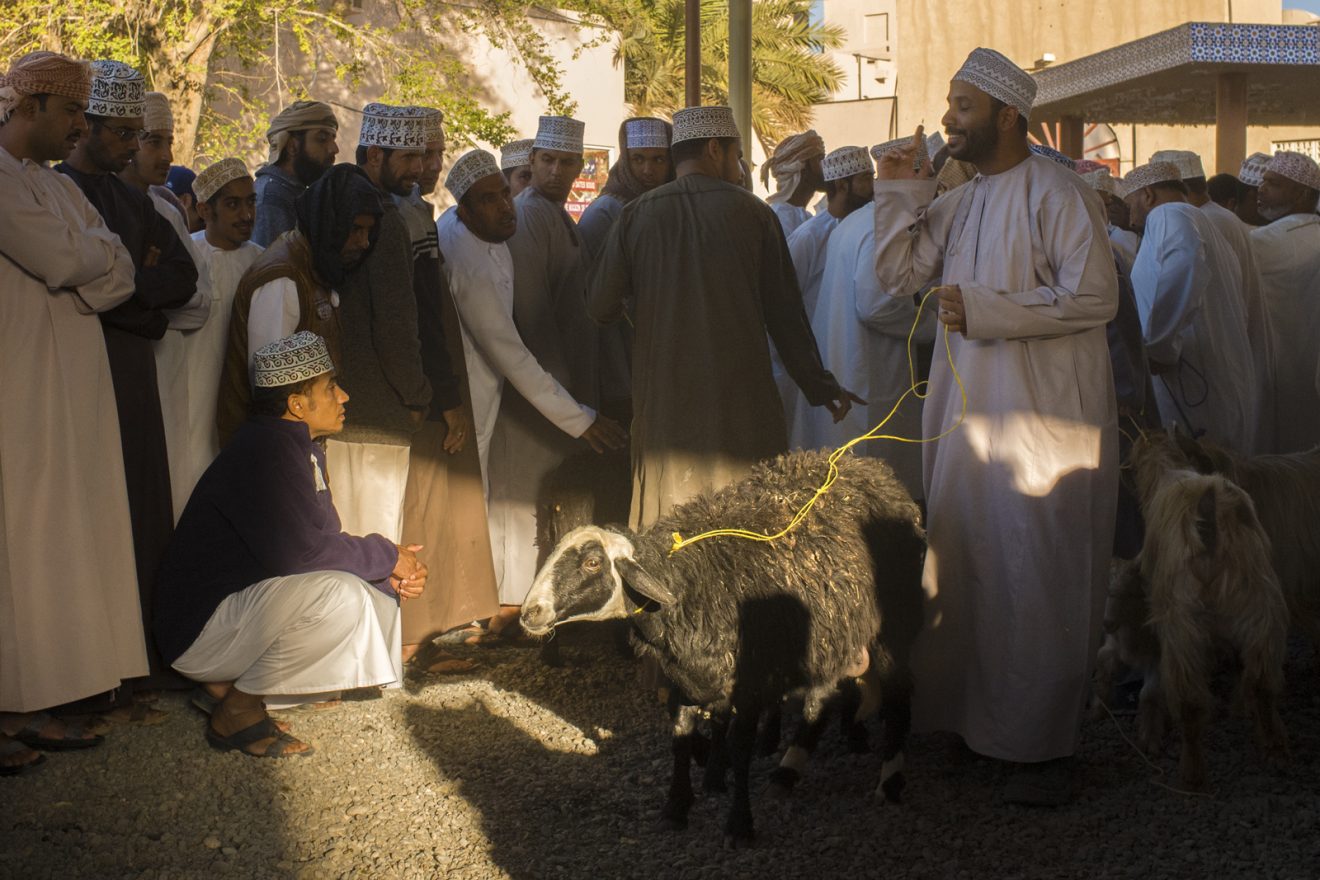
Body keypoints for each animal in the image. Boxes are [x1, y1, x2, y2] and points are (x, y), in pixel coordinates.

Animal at [520, 449, 926, 843]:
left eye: (592, 562)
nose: (529, 613)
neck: (686, 580)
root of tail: (873, 469)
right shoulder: (685, 676)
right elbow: (681, 736)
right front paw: (677, 807)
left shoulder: (750, 682)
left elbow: (740, 747)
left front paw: (739, 824)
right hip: (828, 635)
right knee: (821, 699)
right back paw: (788, 772)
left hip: (893, 623)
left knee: (897, 693)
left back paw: (890, 781)